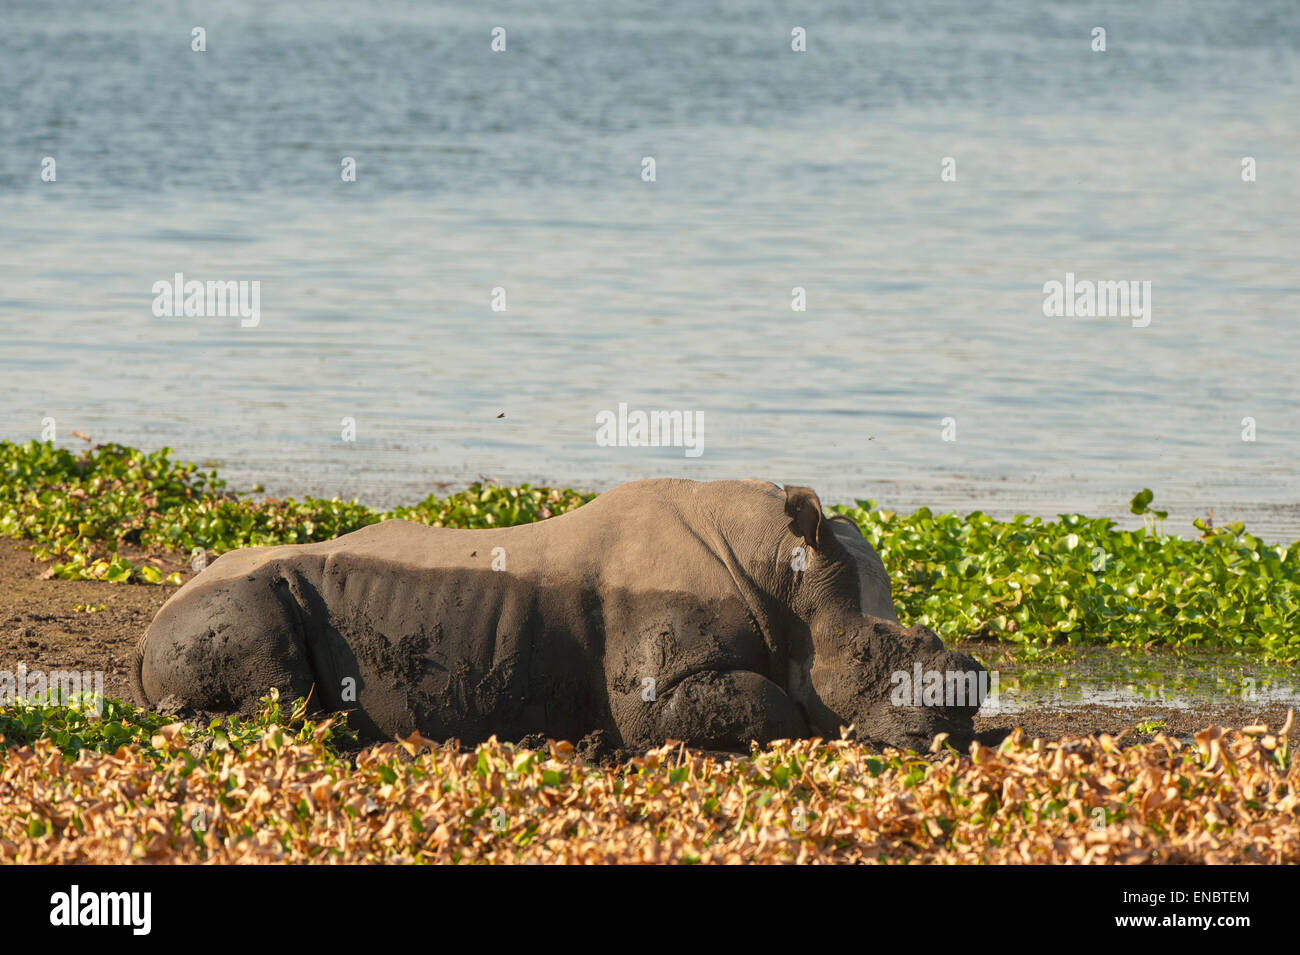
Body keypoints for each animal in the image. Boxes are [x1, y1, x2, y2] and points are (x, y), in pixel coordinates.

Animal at [133, 479, 987, 752]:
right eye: (874, 654)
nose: (956, 725)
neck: (779, 567)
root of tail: (141, 637)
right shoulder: (663, 685)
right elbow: (769, 704)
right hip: (229, 602)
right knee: (277, 691)